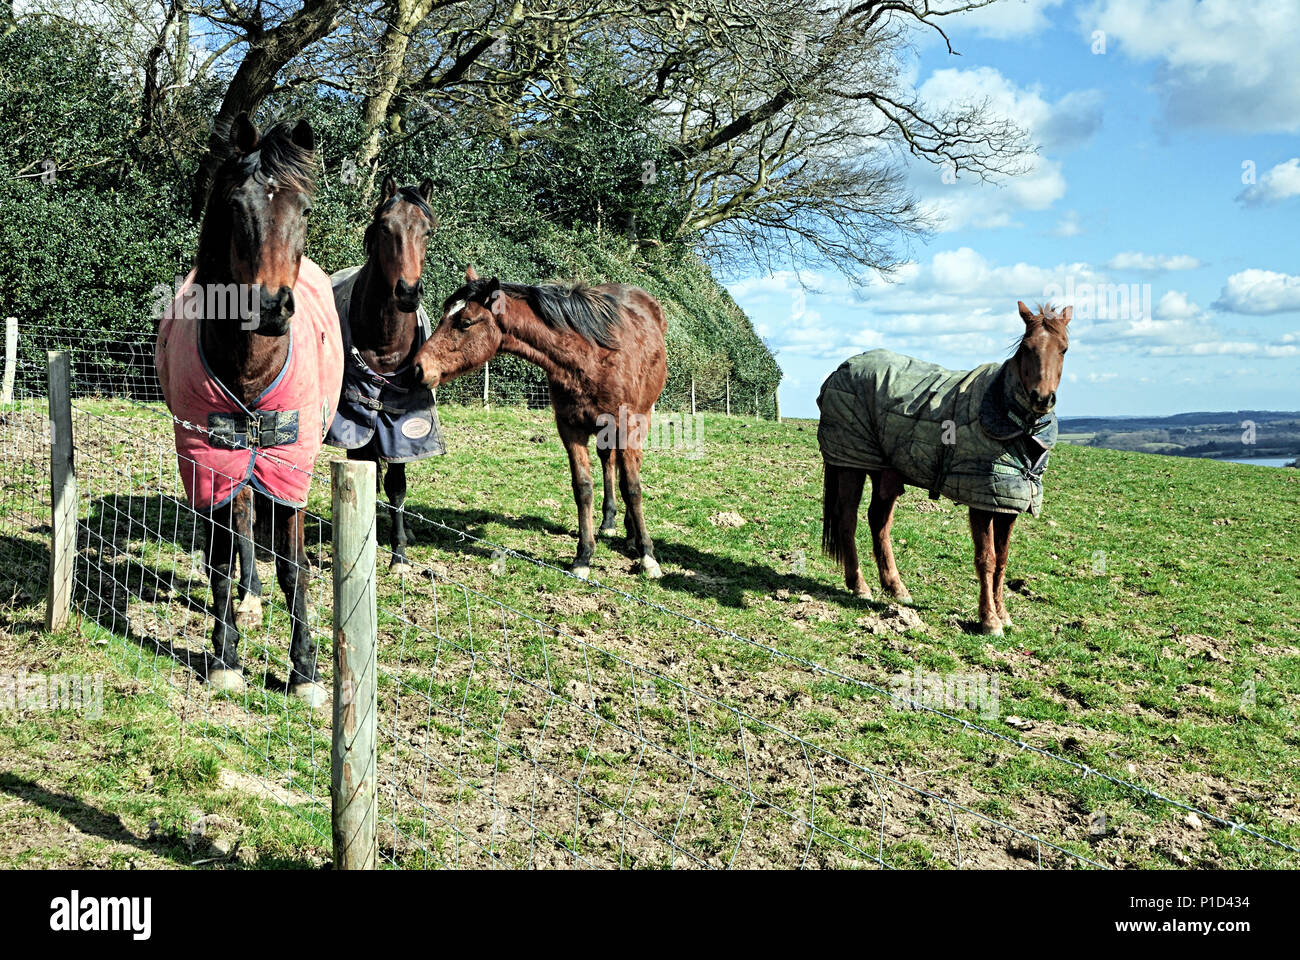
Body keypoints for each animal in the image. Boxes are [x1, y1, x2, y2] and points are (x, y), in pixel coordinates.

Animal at [155, 114, 342, 705]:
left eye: (303, 208)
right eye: (238, 207)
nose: (271, 306)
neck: (252, 364)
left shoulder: (291, 462)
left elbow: (295, 567)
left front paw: (304, 672)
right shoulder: (209, 460)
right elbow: (219, 559)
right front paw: (224, 658)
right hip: (234, 462)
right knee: (239, 525)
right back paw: (249, 598)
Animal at [325, 175, 445, 575]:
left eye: (427, 230)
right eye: (384, 228)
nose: (407, 292)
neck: (385, 339)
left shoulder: (401, 423)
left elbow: (396, 484)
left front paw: (399, 554)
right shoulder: (356, 419)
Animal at [411, 266, 668, 579]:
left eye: (466, 322)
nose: (418, 367)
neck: (592, 356)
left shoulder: (626, 426)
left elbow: (632, 487)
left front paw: (647, 555)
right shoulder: (570, 428)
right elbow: (583, 487)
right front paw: (583, 557)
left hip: (642, 417)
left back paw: (631, 533)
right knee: (608, 461)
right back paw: (609, 522)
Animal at [818, 301, 1069, 635]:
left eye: (1064, 348)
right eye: (1027, 347)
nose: (1041, 398)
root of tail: (841, 369)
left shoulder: (1008, 504)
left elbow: (1002, 559)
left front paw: (1003, 614)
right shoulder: (981, 501)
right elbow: (986, 559)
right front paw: (989, 620)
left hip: (885, 472)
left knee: (878, 522)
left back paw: (896, 588)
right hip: (851, 464)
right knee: (848, 520)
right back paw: (859, 586)